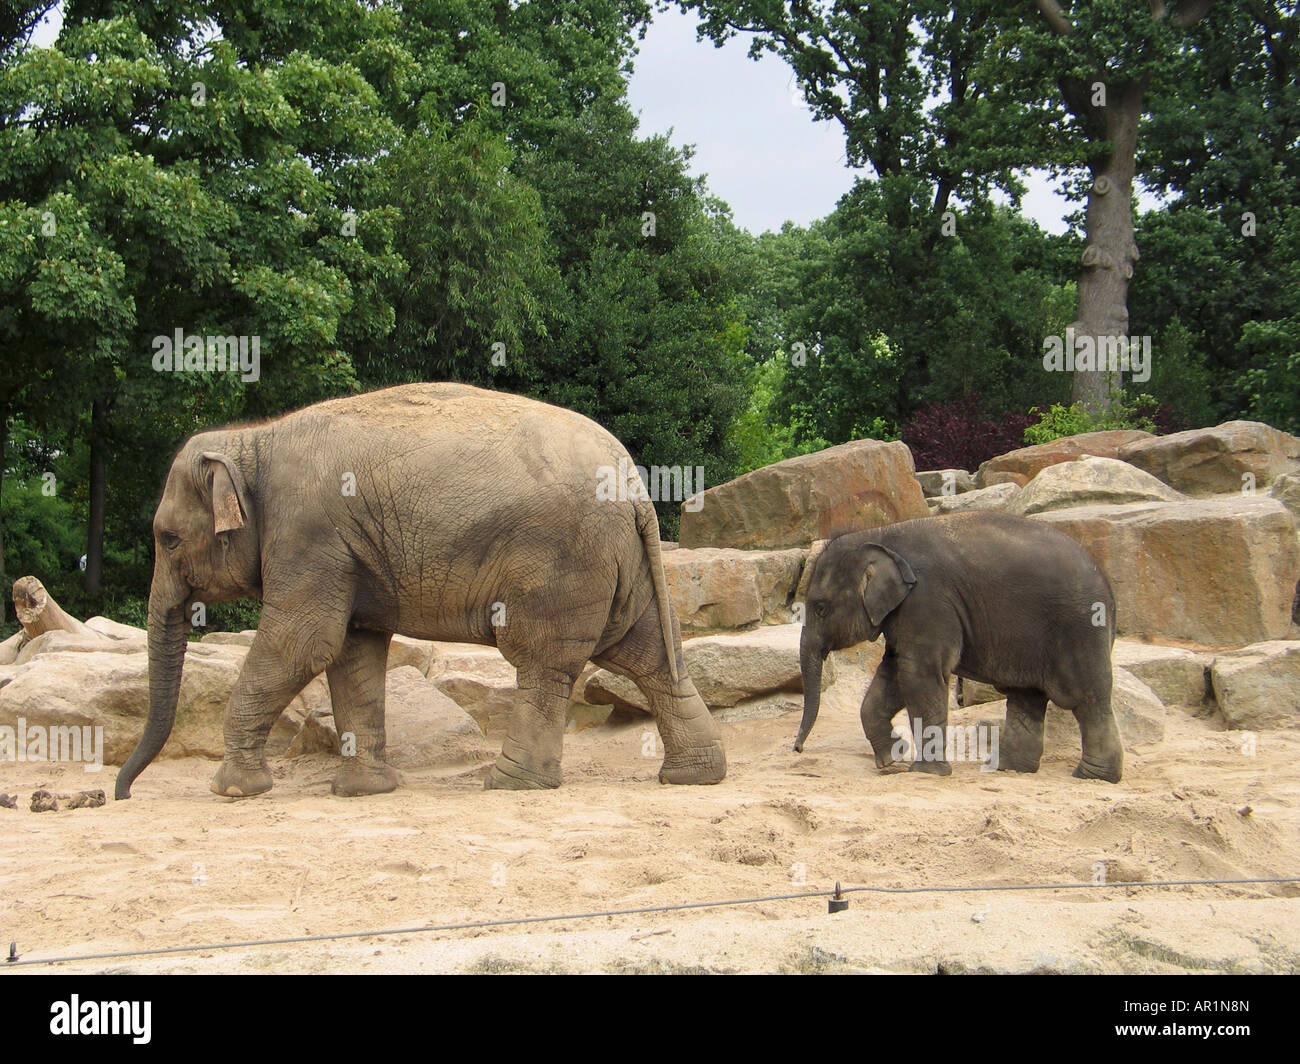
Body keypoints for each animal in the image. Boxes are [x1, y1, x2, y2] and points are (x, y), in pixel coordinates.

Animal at [114, 382, 726, 799]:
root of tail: (635, 487)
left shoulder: (308, 535)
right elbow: (352, 649)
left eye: (168, 539)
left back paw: (509, 784)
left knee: (542, 660)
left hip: (561, 561)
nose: (120, 794)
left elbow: (302, 643)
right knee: (648, 653)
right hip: (617, 564)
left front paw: (234, 790)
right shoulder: (344, 550)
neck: (250, 440)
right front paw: (365, 791)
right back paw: (693, 776)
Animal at [794, 510, 1123, 782]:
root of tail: (1108, 588)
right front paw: (891, 760)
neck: (880, 534)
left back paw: (1092, 777)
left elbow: (917, 674)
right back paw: (1009, 769)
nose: (797, 749)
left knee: (1086, 698)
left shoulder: (928, 599)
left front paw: (925, 773)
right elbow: (893, 672)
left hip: (1080, 628)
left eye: (820, 608)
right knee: (1026, 696)